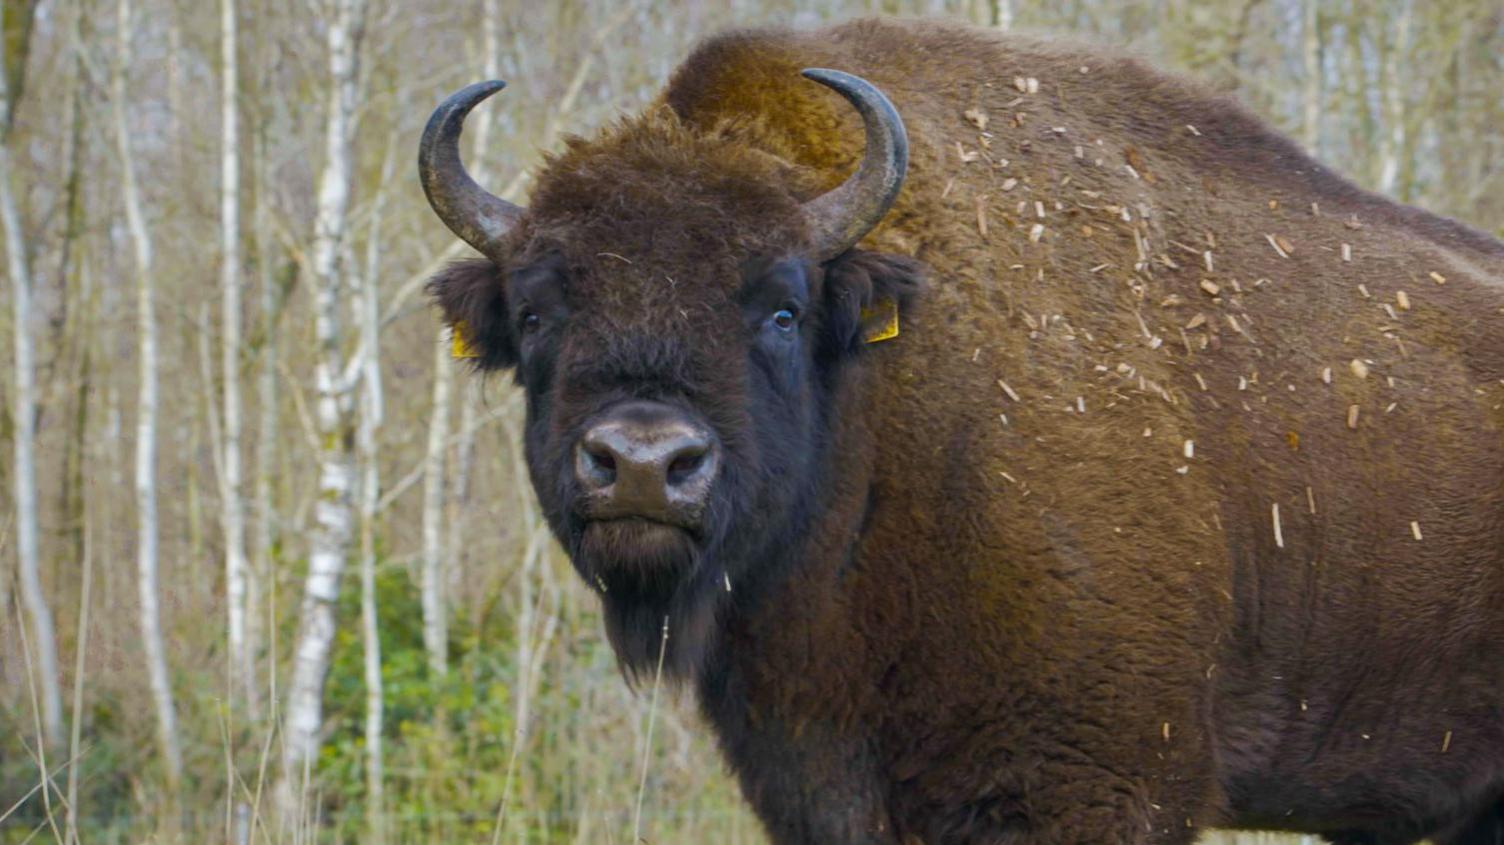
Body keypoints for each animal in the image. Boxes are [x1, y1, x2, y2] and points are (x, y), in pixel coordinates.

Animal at [419, 18, 1504, 845]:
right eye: (536, 311)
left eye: (782, 307)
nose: (644, 463)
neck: (889, 405)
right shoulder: (827, 783)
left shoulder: (1099, 781)